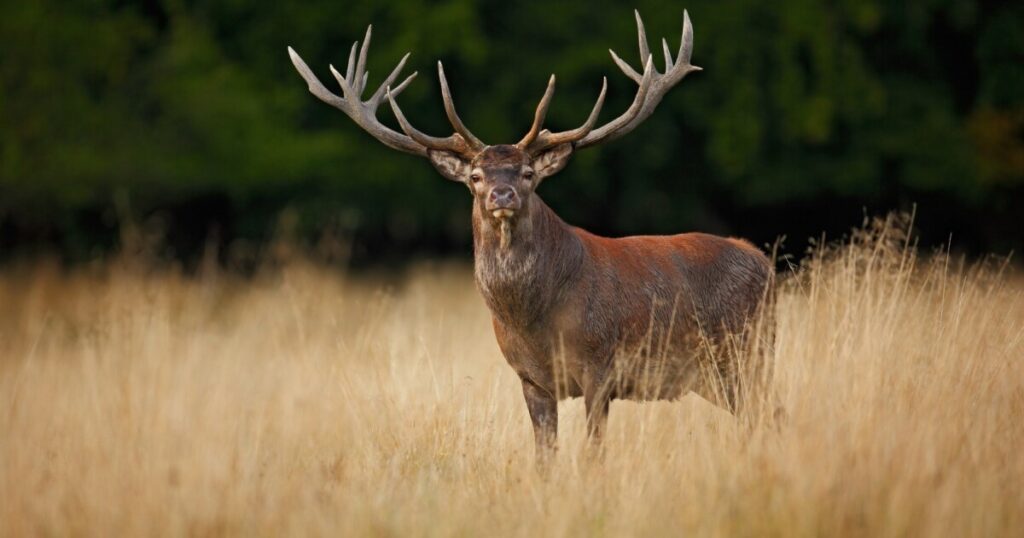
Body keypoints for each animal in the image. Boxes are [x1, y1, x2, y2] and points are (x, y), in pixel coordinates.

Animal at [289, 9, 774, 466]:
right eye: (476, 177)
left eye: (526, 173)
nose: (501, 194)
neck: (536, 320)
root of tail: (764, 262)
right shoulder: (529, 377)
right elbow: (544, 457)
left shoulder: (601, 365)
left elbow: (594, 453)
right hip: (718, 374)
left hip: (745, 354)